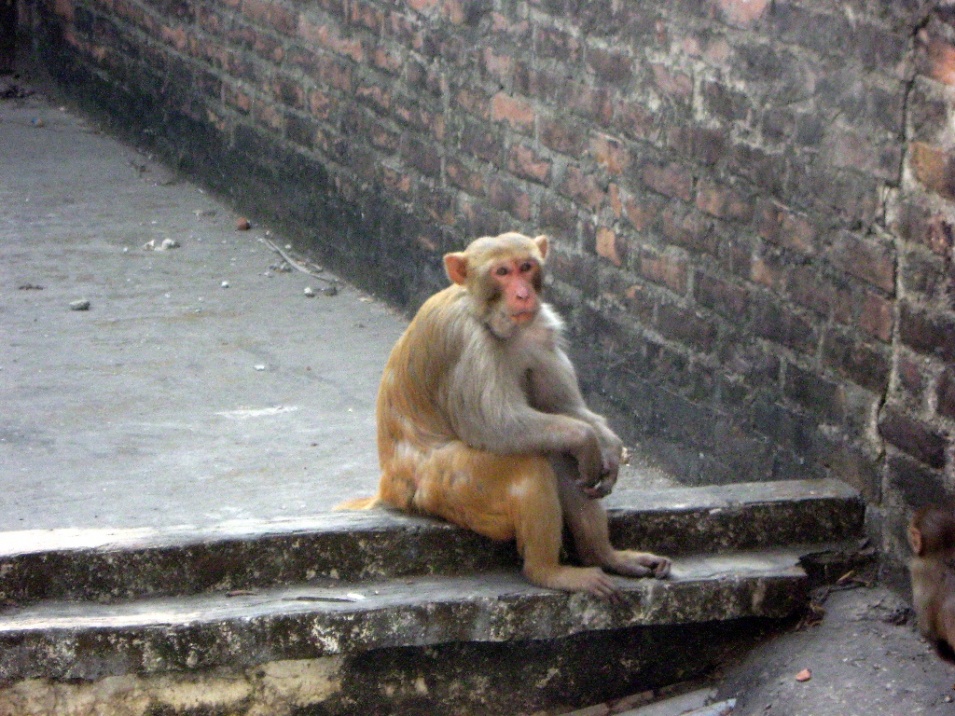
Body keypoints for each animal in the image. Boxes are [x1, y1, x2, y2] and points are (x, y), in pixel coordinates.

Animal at [339, 231, 670, 598]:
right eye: (501, 272)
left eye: (526, 267)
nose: (523, 293)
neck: (486, 314)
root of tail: (390, 488)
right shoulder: (468, 343)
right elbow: (493, 426)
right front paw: (586, 439)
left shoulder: (541, 333)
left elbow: (562, 408)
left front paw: (609, 446)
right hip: (445, 489)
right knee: (530, 466)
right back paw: (547, 572)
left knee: (557, 453)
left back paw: (604, 556)